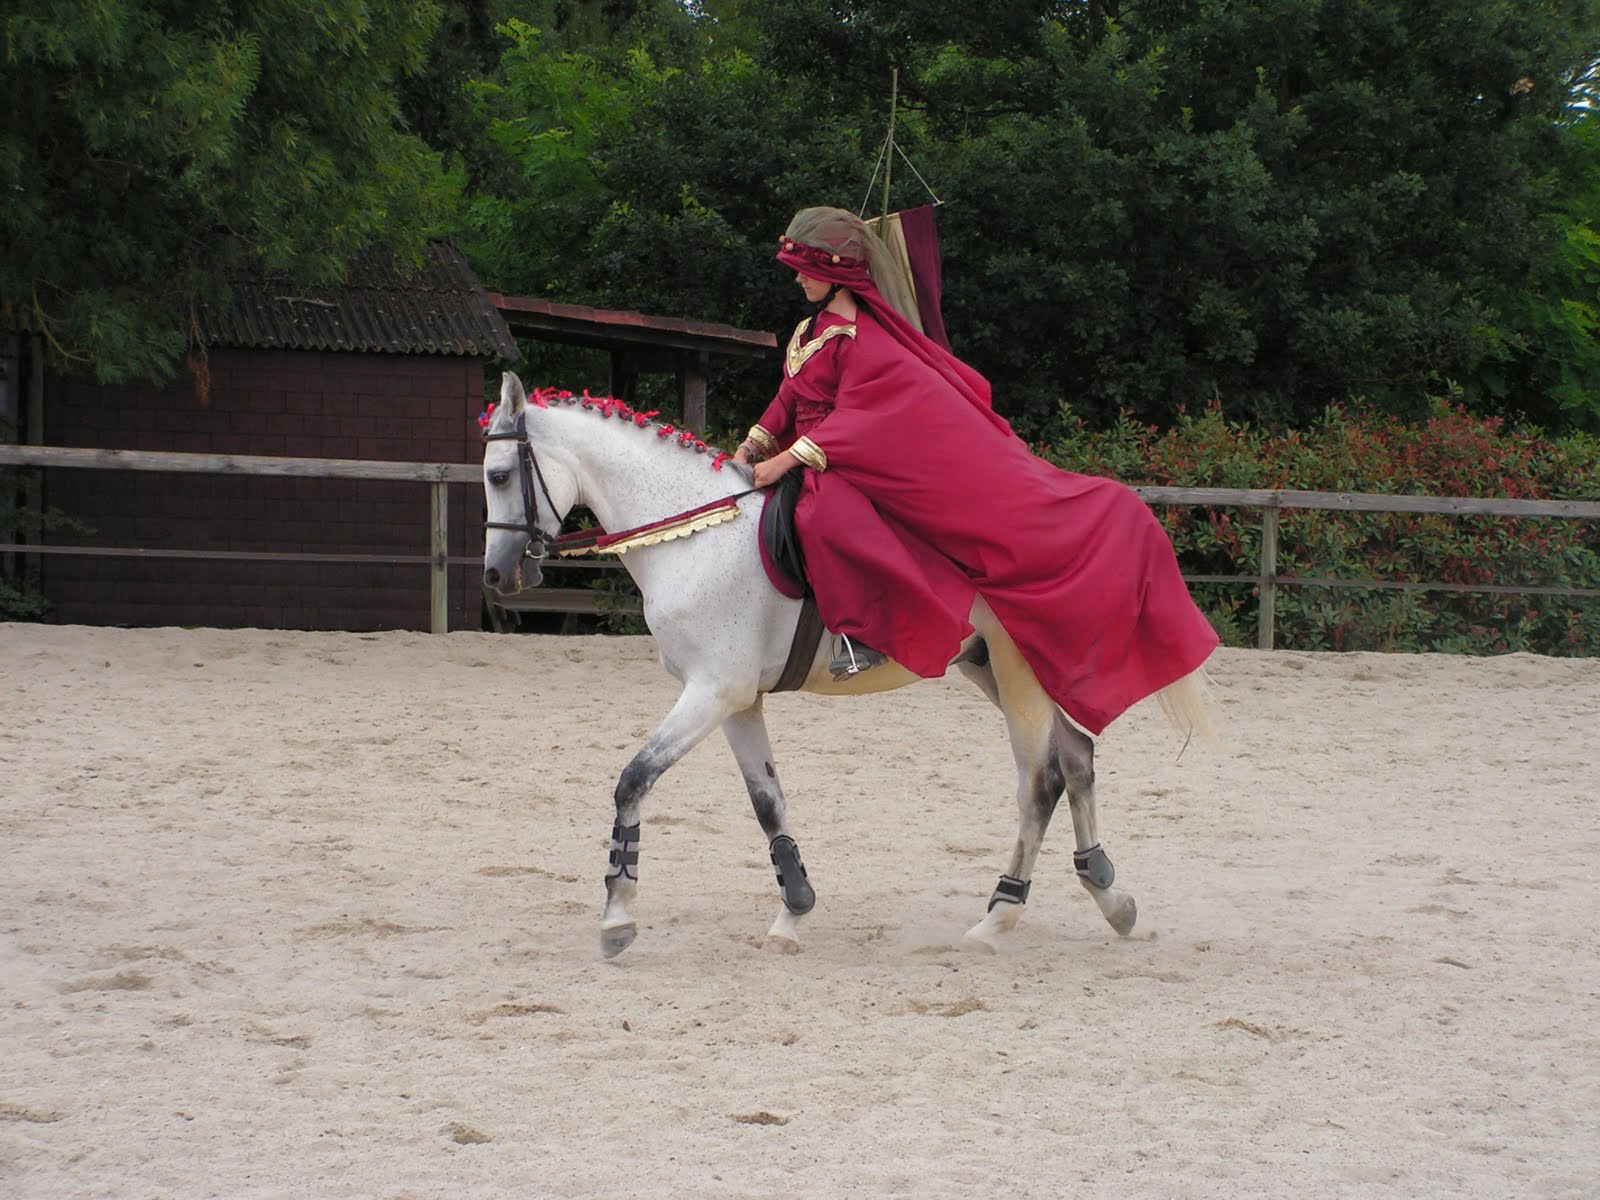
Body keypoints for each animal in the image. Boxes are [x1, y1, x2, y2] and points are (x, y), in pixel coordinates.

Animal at [480, 372, 1211, 958]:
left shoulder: (712, 691)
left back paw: (999, 917)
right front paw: (793, 911)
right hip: (996, 670)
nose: (497, 576)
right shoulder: (737, 701)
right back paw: (1111, 898)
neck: (697, 535)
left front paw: (617, 915)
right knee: (1078, 759)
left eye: (498, 476)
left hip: (1020, 675)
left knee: (1042, 780)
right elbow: (767, 802)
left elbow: (634, 779)